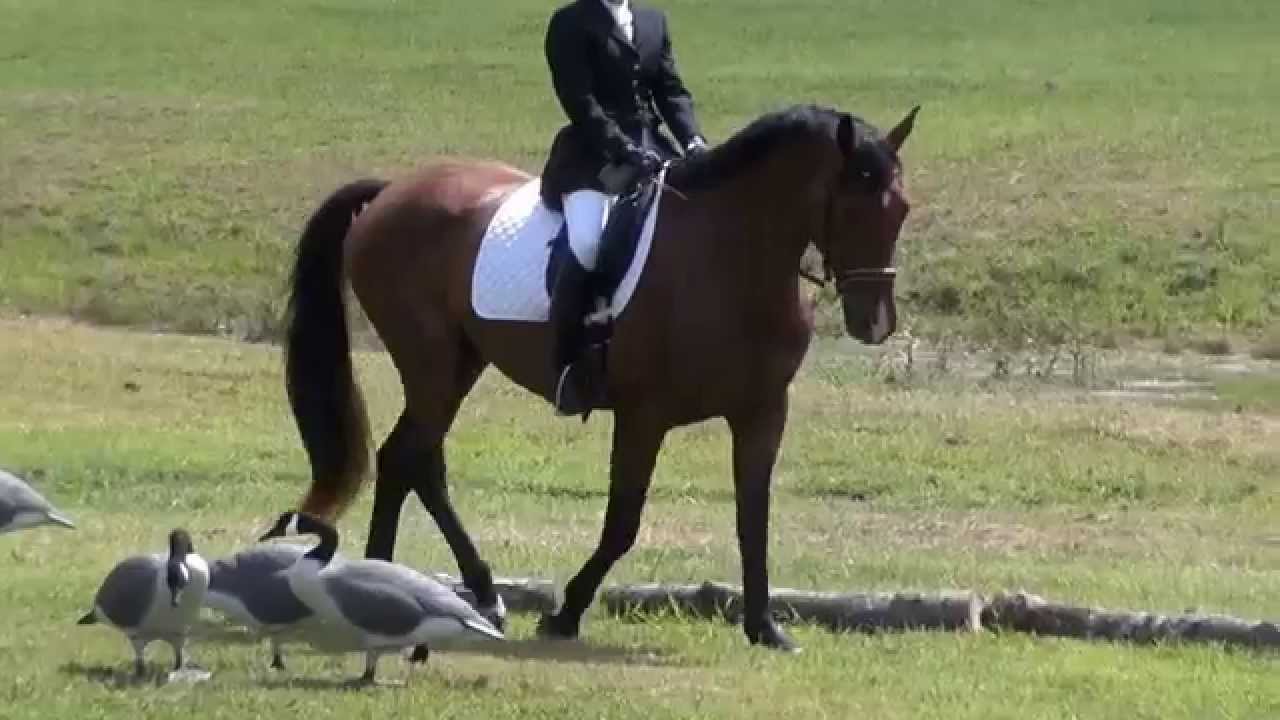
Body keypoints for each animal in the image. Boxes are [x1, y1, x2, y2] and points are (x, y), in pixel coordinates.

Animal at [280, 102, 919, 652]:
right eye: (852, 204)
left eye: (902, 210)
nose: (875, 323)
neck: (730, 258)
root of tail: (392, 190)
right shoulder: (644, 415)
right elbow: (623, 523)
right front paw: (565, 613)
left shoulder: (762, 412)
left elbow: (752, 518)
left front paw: (764, 627)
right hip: (430, 362)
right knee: (407, 458)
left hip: (460, 362)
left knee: (415, 461)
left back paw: (465, 593)